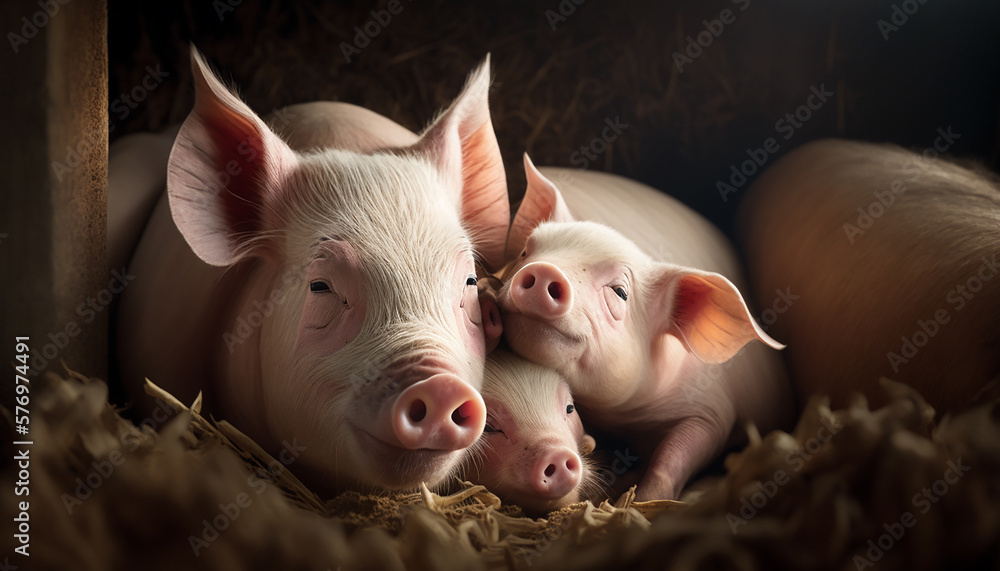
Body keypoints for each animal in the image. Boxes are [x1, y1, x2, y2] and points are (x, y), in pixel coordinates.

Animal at [492, 155, 793, 501]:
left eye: (620, 292)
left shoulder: (713, 409)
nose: (543, 269)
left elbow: (676, 456)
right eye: (525, 253)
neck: (624, 419)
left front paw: (643, 498)